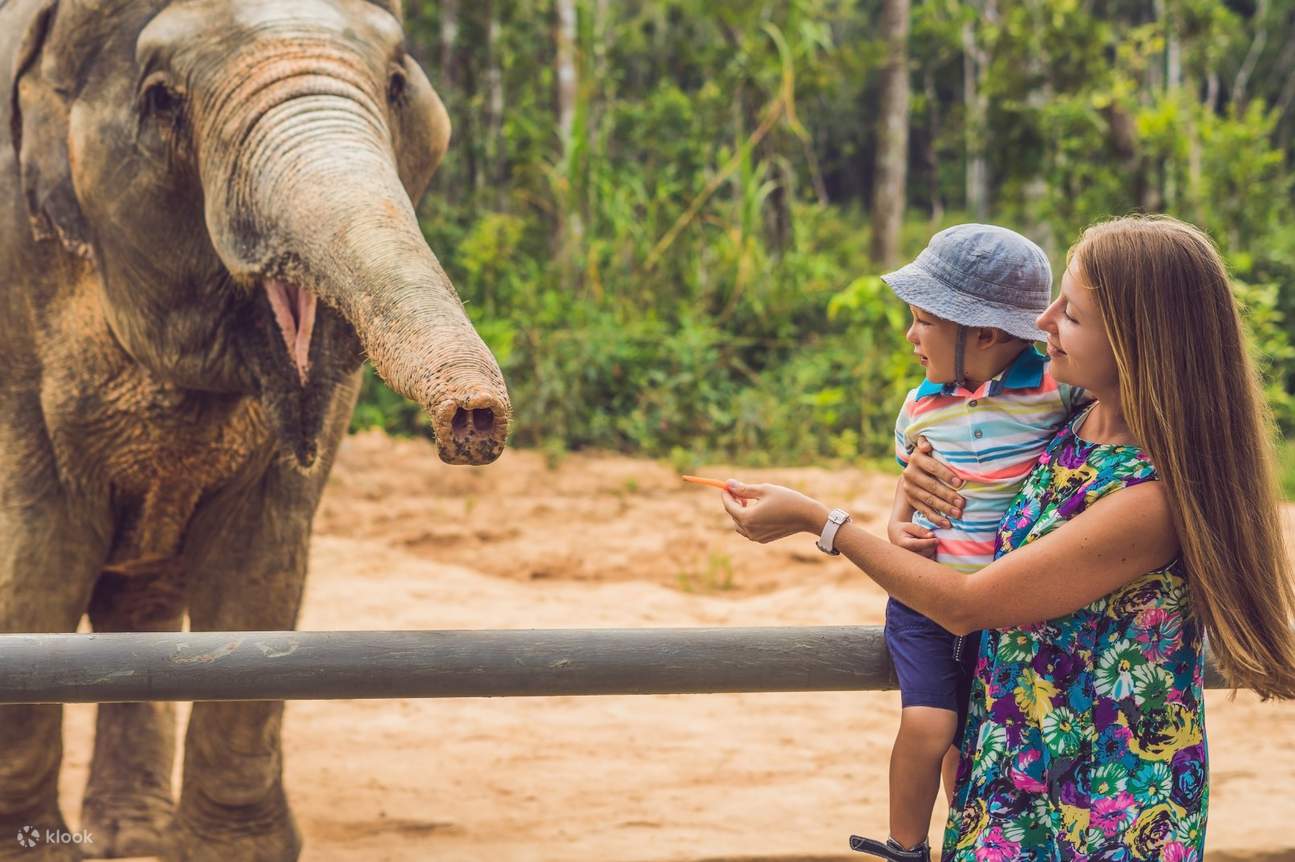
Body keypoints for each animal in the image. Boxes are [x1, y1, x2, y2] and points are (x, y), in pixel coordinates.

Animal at [0, 0, 510, 859]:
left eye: (397, 82)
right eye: (163, 99)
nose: (473, 422)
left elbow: (257, 562)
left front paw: (231, 850)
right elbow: (37, 560)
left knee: (141, 601)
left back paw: (133, 837)